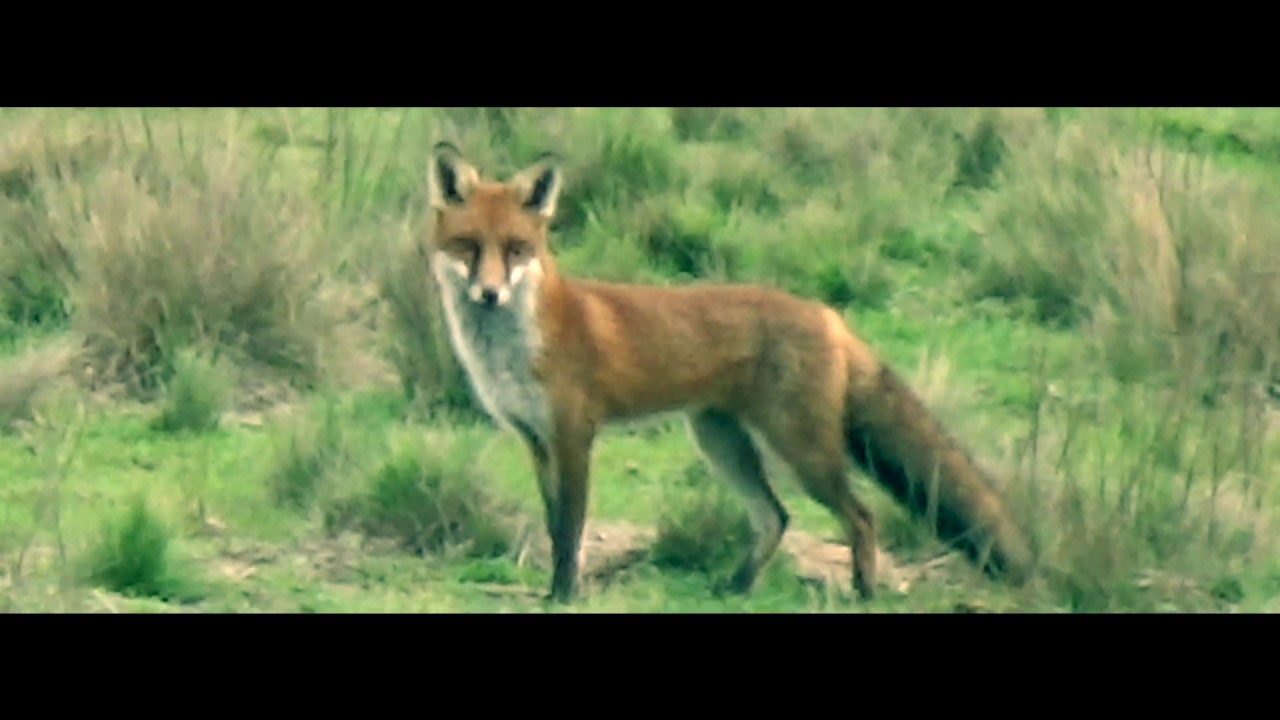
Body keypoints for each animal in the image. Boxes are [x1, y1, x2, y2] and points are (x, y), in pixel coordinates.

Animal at [423, 141, 1034, 604]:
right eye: (468, 246)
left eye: (517, 248)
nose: (490, 294)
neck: (518, 343)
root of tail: (828, 314)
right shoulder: (536, 439)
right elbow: (553, 524)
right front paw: (555, 592)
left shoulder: (575, 434)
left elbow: (569, 528)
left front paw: (565, 597)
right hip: (722, 442)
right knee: (776, 517)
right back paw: (737, 587)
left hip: (801, 450)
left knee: (860, 517)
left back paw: (863, 594)